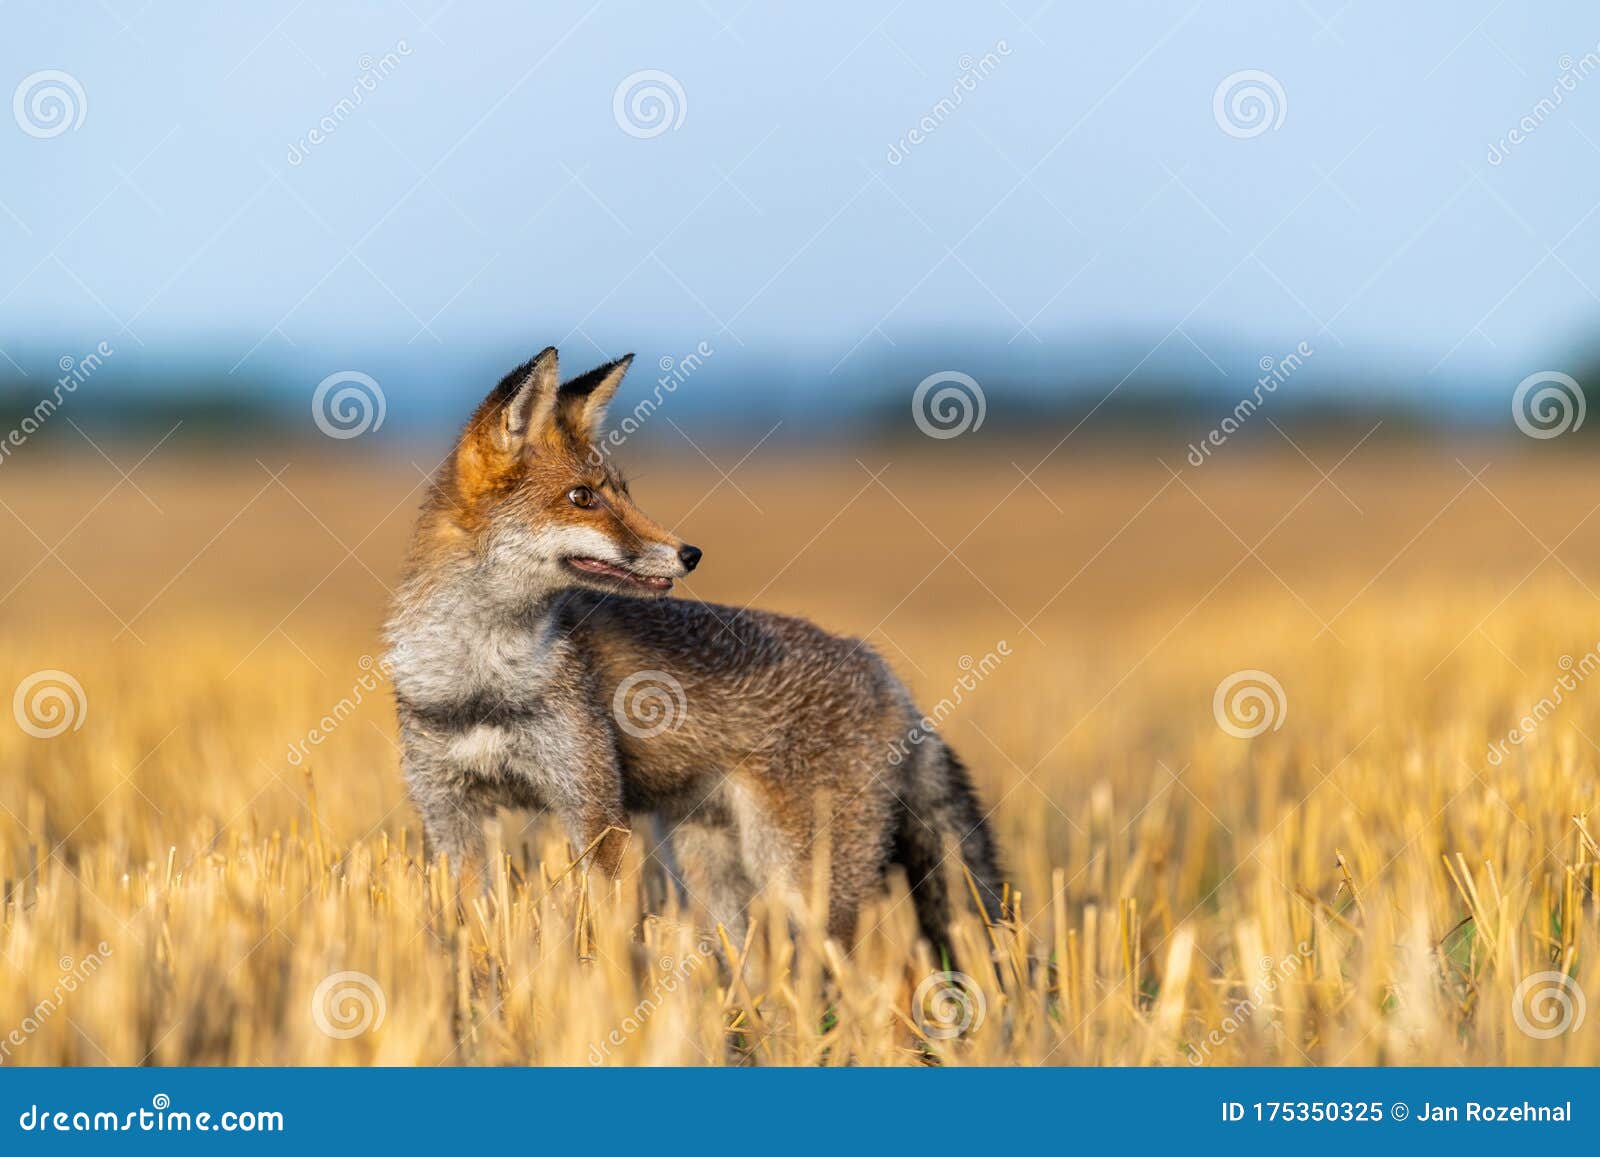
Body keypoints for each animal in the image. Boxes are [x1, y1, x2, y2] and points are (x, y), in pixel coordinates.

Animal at [385, 346, 1004, 948]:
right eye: (581, 497)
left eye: (624, 493)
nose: (690, 553)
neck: (480, 676)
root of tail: (887, 675)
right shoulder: (451, 817)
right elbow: (474, 922)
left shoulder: (595, 810)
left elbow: (602, 930)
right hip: (708, 869)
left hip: (801, 879)